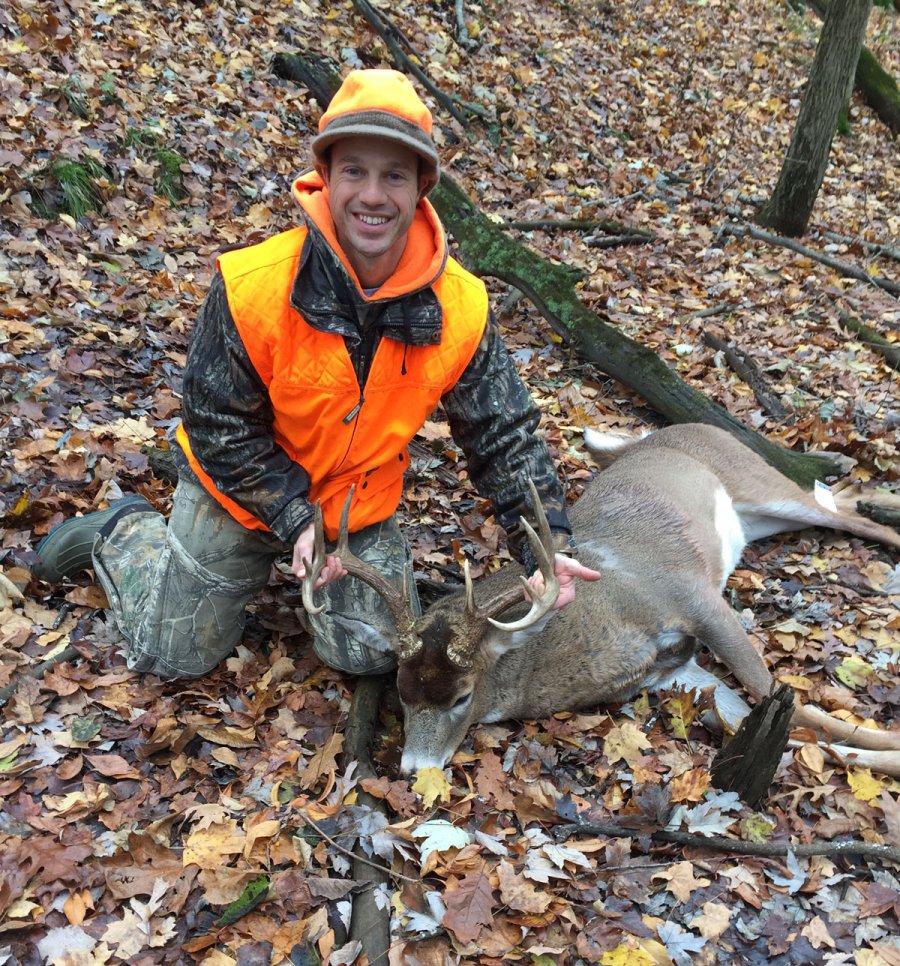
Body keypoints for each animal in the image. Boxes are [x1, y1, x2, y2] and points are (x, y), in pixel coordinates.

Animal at [302, 423, 900, 778]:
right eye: (401, 695)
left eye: (461, 696)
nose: (410, 769)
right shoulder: (673, 668)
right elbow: (785, 726)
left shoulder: (695, 596)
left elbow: (785, 697)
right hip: (761, 517)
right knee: (839, 499)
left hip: (758, 480)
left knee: (844, 513)